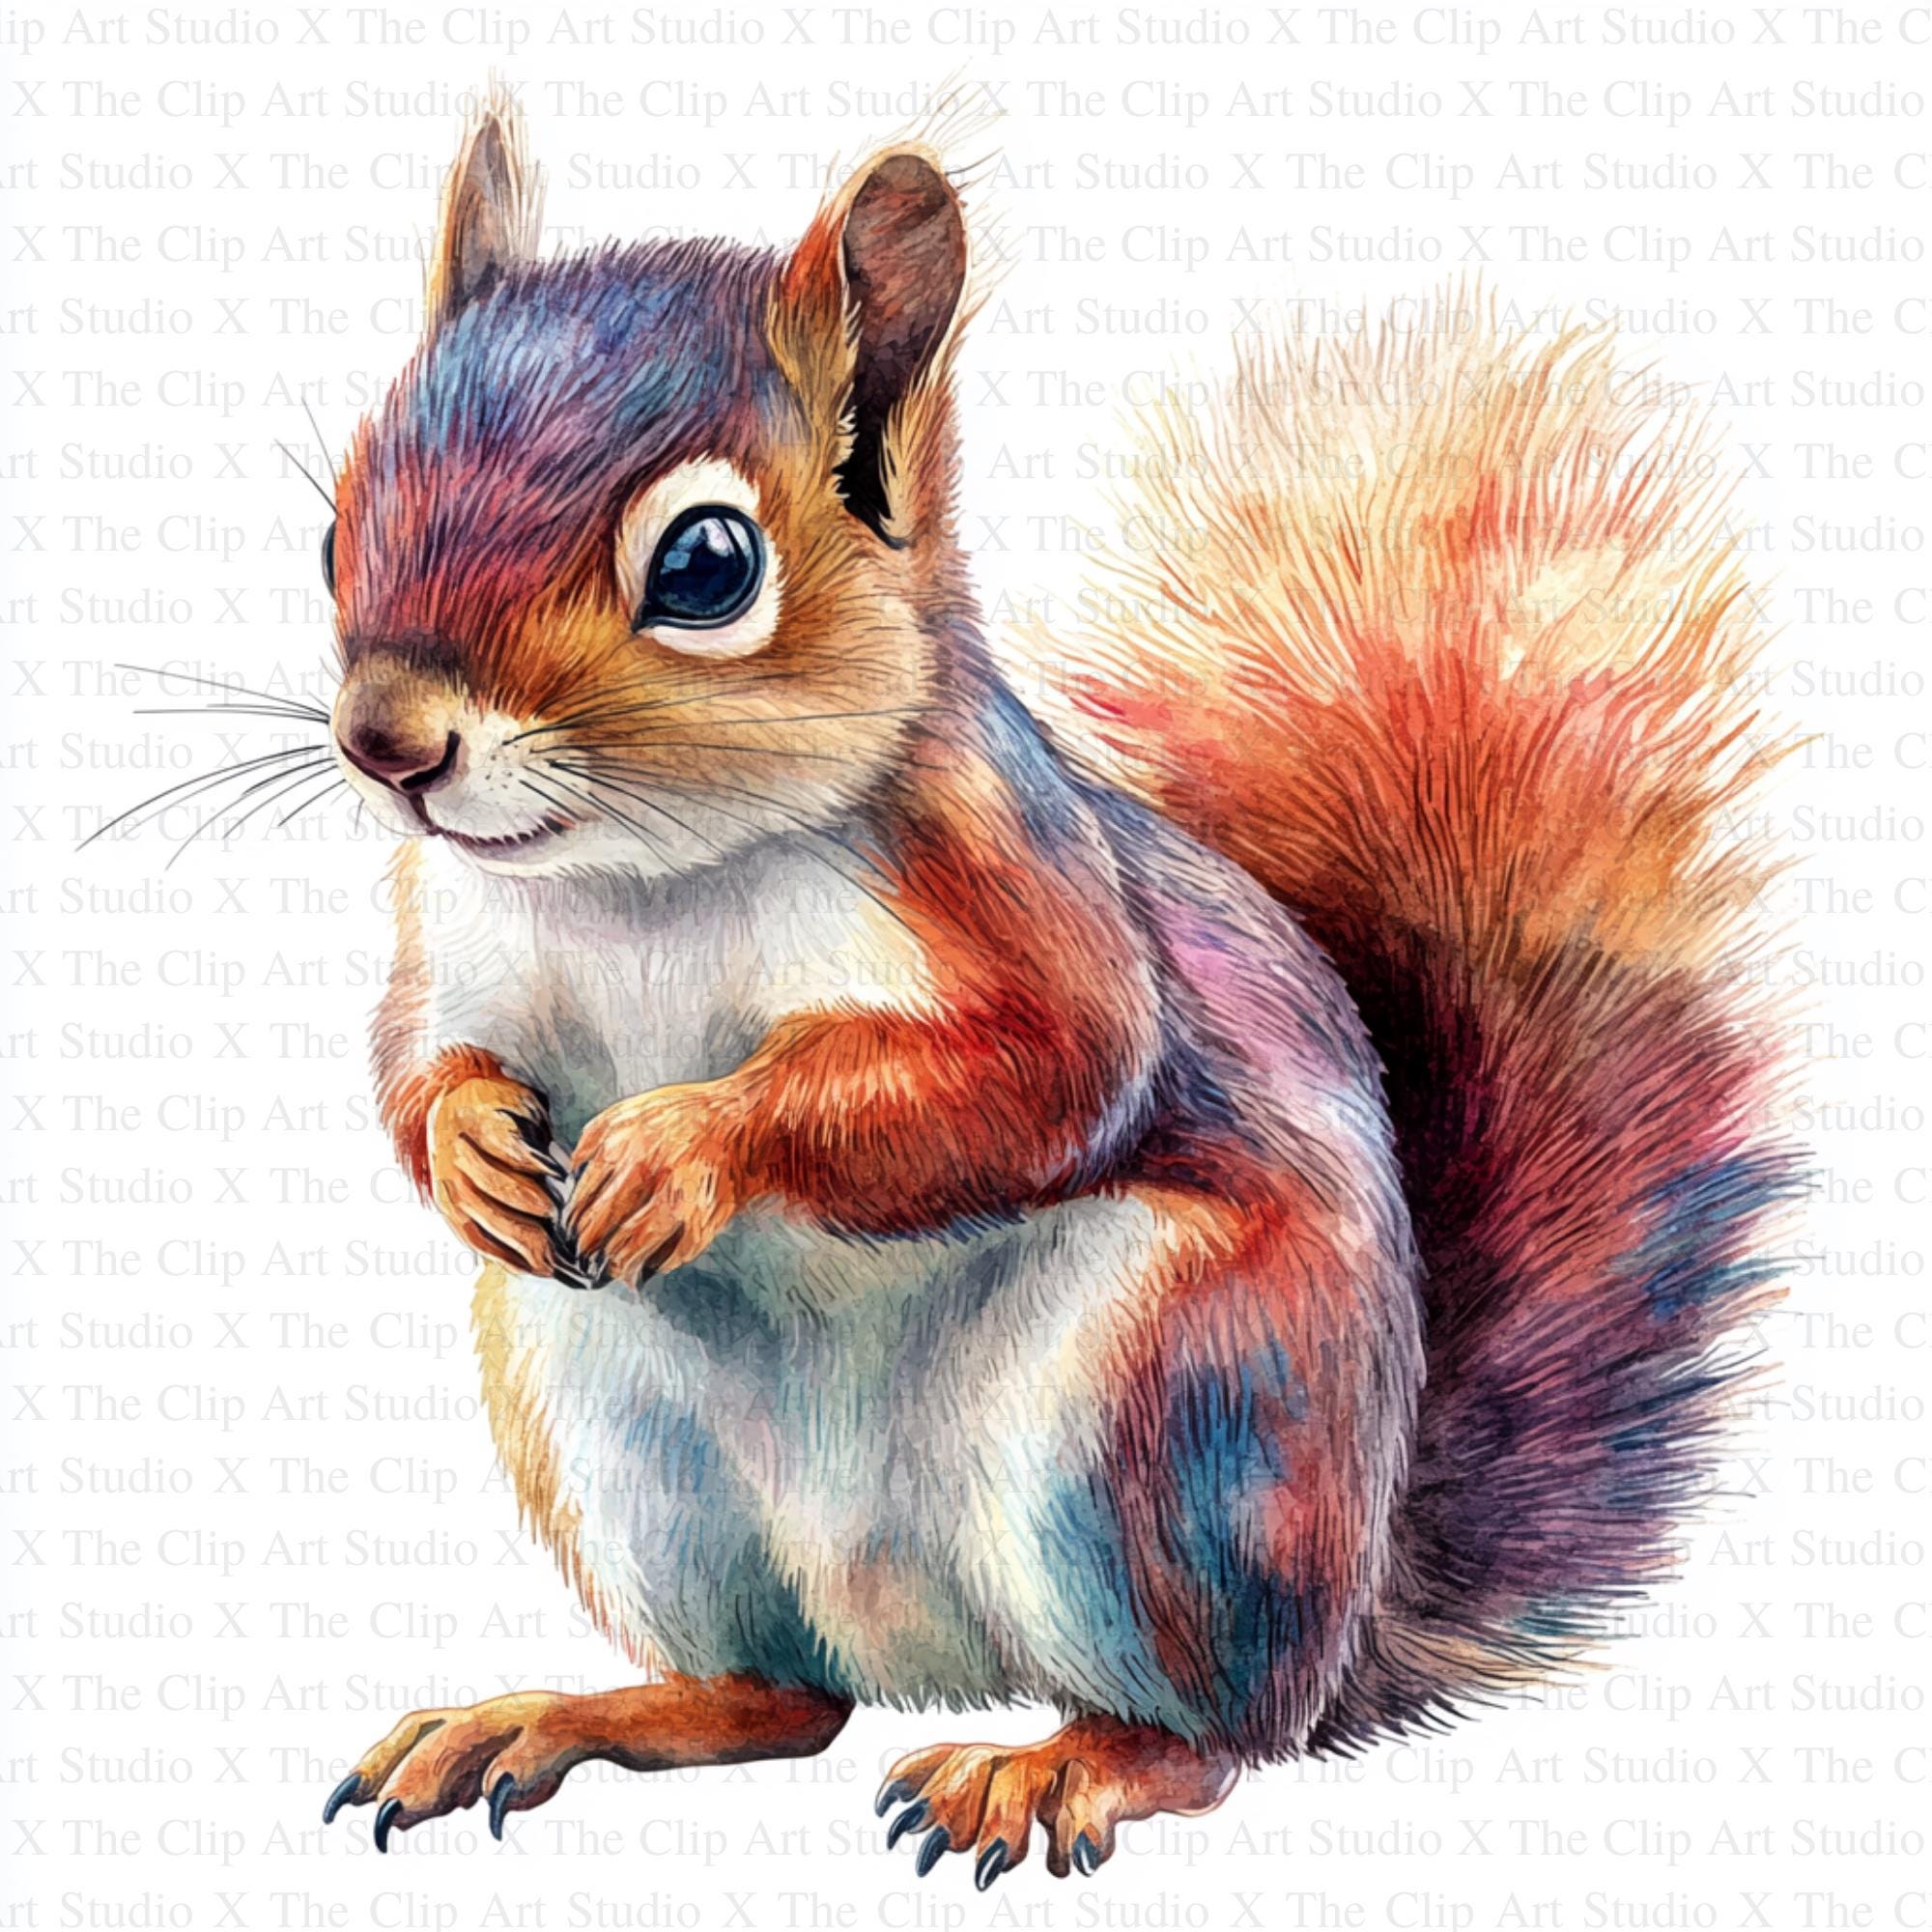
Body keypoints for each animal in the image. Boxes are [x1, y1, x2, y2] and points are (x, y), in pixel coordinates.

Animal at [316, 93, 1790, 1884]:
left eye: (710, 566)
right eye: (336, 520)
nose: (386, 744)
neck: (647, 879)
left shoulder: (1019, 896)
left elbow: (1042, 1078)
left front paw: (690, 1146)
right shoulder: (452, 945)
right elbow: (413, 1072)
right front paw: (474, 1151)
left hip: (1171, 1419)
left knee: (1215, 1739)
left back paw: (1062, 1766)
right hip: (613, 1432)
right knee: (774, 1700)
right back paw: (563, 1717)